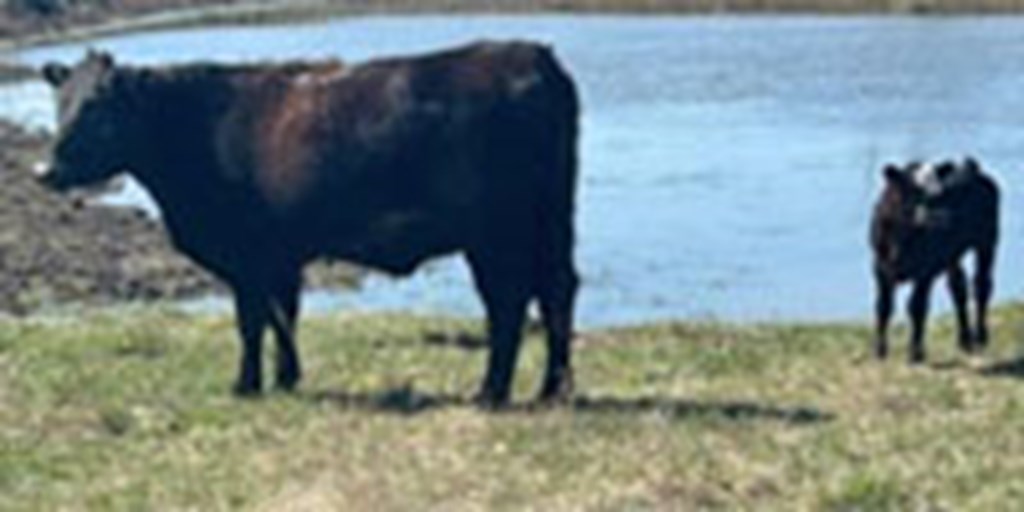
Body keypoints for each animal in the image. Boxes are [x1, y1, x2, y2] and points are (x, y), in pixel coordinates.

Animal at [36, 43, 581, 407]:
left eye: (97, 106)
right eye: (60, 103)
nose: (44, 170)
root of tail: (532, 55)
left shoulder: (249, 254)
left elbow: (251, 322)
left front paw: (246, 385)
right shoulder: (280, 255)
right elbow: (283, 316)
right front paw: (286, 379)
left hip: (497, 234)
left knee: (509, 303)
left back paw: (491, 393)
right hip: (548, 223)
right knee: (556, 290)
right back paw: (551, 390)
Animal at [870, 157, 999, 363]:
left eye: (941, 194)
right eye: (913, 193)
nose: (940, 218)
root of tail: (971, 166)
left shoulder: (925, 271)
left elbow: (916, 307)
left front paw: (915, 352)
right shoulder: (879, 268)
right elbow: (883, 306)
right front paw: (879, 350)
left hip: (987, 241)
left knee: (982, 285)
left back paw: (980, 337)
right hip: (953, 254)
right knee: (958, 289)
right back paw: (964, 340)